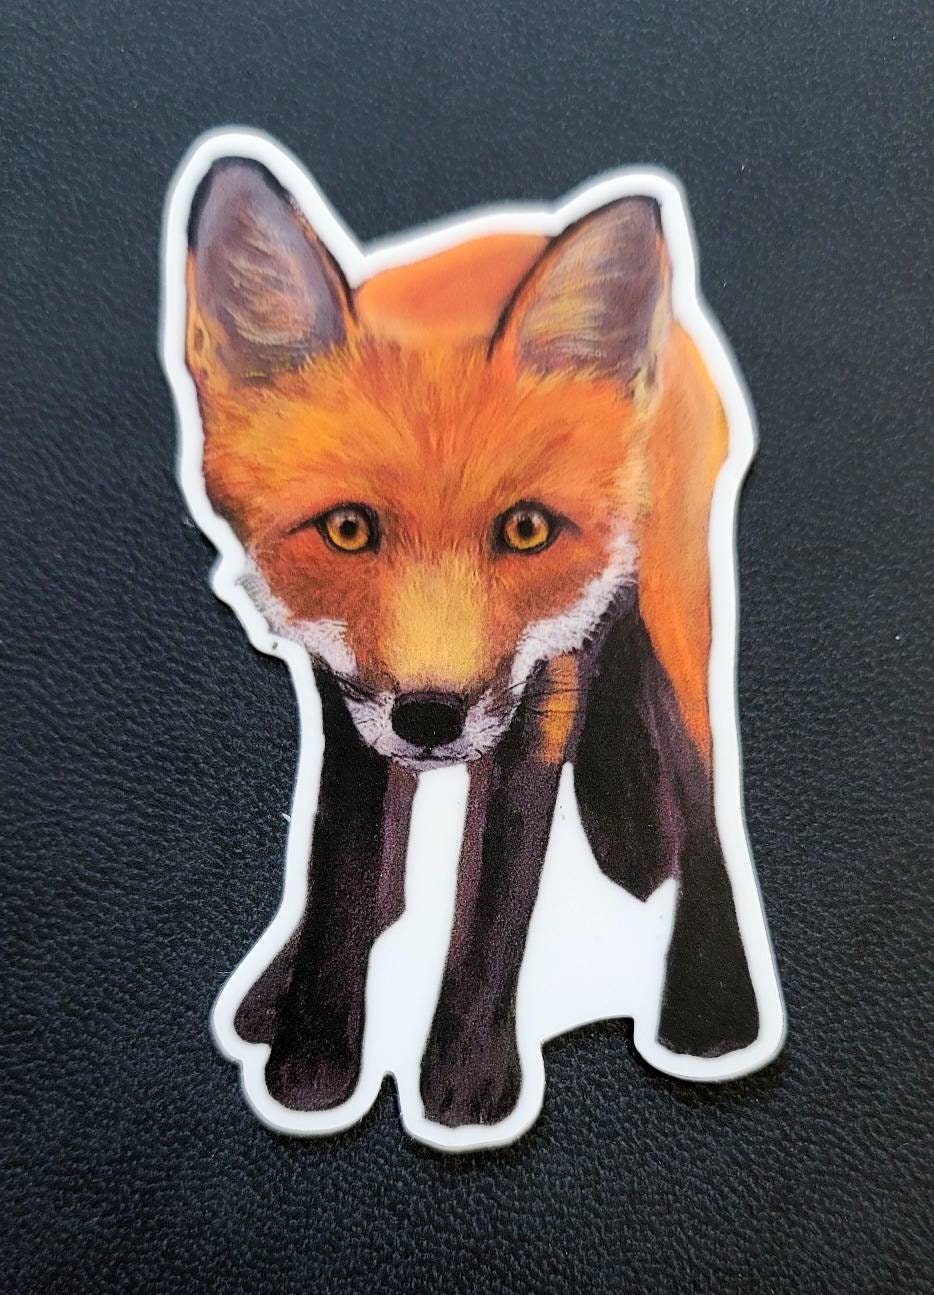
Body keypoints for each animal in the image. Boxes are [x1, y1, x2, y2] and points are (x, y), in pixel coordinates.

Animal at [169, 141, 781, 1139]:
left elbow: (496, 897)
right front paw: (312, 1070)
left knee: (703, 791)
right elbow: (344, 869)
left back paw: (712, 1009)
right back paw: (269, 989)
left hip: (679, 606)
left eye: (526, 530)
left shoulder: (537, 702)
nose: (431, 716)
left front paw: (463, 1088)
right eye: (347, 530)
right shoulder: (343, 696)